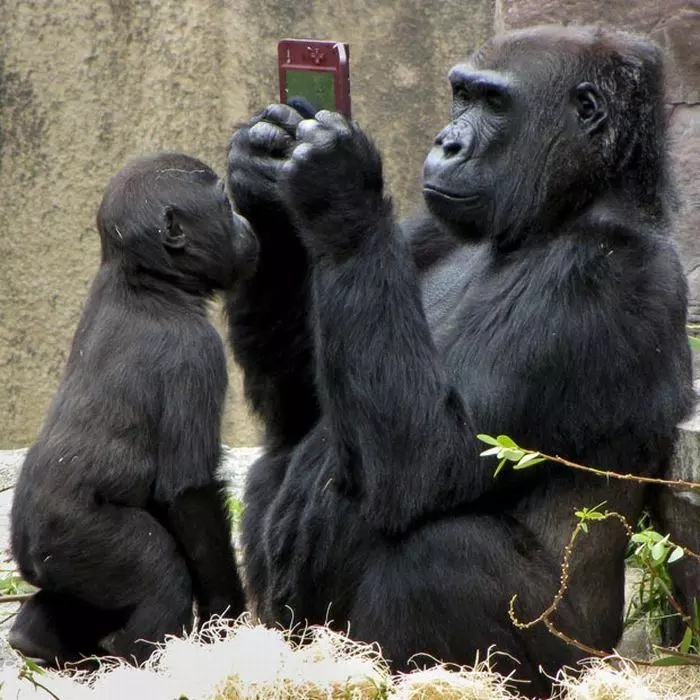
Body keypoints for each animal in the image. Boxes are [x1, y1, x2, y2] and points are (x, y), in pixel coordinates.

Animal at [9, 153, 256, 668]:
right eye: (224, 206)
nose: (245, 223)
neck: (148, 280)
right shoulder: (197, 355)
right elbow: (190, 495)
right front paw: (226, 616)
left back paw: (35, 639)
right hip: (77, 535)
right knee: (160, 575)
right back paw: (141, 659)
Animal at [228, 26, 696, 696]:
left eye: (495, 103)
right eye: (461, 95)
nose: (446, 143)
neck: (562, 211)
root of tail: (606, 658)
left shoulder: (603, 277)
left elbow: (429, 461)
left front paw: (335, 186)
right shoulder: (429, 227)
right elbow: (298, 408)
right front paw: (262, 174)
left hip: (571, 663)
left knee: (442, 550)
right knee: (281, 456)